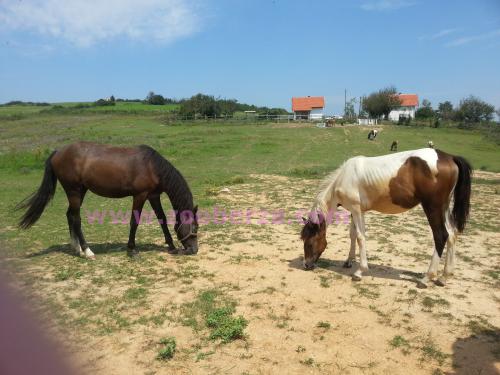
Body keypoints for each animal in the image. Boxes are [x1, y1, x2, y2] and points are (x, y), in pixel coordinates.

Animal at [18, 142, 197, 260]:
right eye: (195, 226)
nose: (194, 249)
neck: (151, 166)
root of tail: (57, 152)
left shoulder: (153, 196)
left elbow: (162, 219)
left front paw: (171, 246)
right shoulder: (140, 195)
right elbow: (134, 222)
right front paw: (131, 250)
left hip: (80, 191)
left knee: (69, 215)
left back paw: (76, 248)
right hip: (74, 191)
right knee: (76, 219)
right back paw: (87, 251)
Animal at [300, 148, 472, 288]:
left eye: (309, 242)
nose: (306, 265)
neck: (344, 178)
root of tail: (449, 157)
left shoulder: (357, 210)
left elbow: (361, 237)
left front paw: (360, 271)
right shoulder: (355, 211)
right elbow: (353, 234)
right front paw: (349, 261)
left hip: (432, 208)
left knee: (441, 236)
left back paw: (426, 278)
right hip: (444, 207)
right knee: (452, 234)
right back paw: (444, 277)